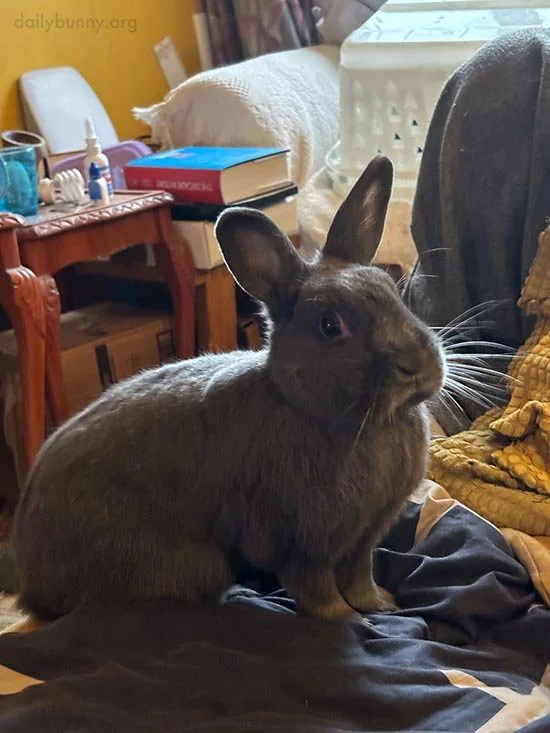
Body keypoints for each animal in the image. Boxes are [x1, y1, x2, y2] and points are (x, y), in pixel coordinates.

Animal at [11, 155, 445, 629]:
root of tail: (30, 586)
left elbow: (359, 576)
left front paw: (383, 604)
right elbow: (319, 591)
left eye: (394, 295)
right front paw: (349, 621)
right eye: (330, 326)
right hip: (190, 567)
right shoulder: (302, 543)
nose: (417, 367)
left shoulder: (362, 539)